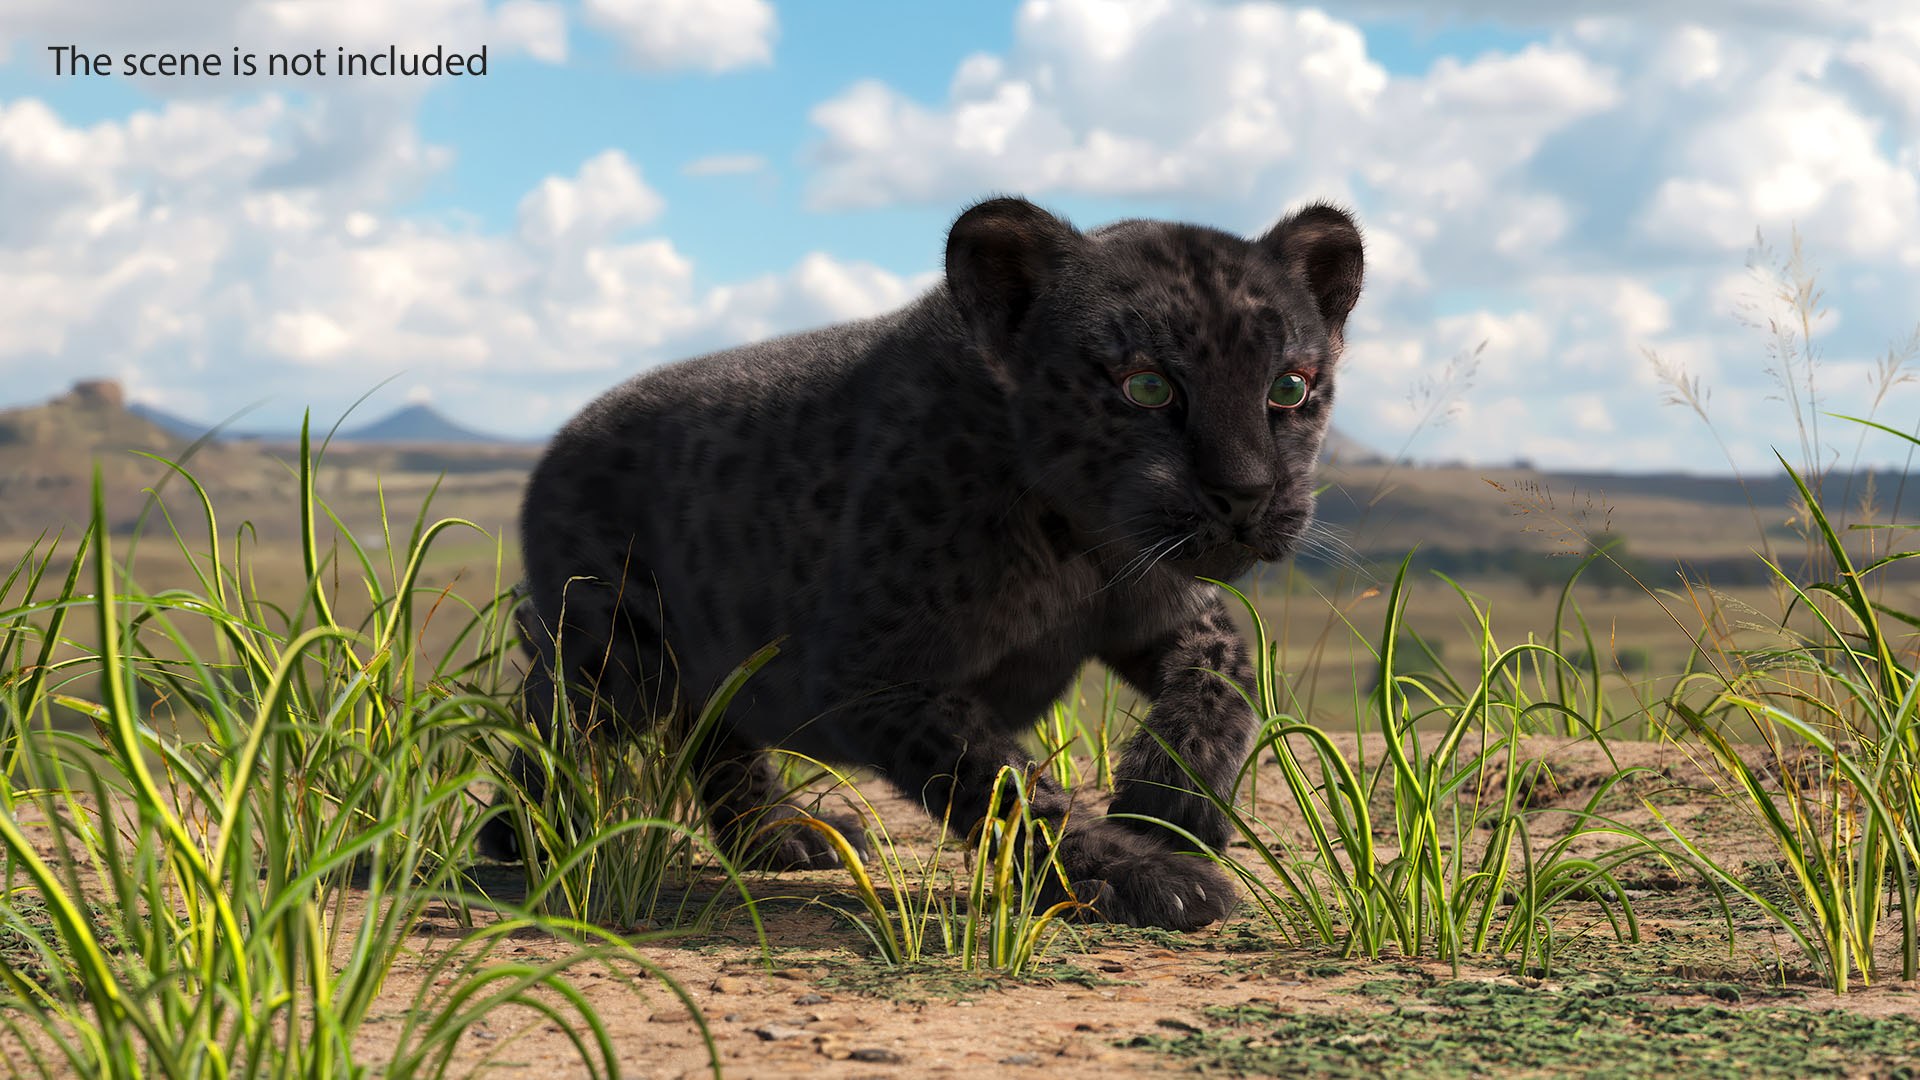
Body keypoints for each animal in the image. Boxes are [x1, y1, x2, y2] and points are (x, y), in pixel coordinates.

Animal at [491, 195, 1364, 931]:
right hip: (615, 658)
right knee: (554, 731)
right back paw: (518, 847)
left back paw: (779, 840)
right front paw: (1144, 877)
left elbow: (1224, 671)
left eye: (1290, 387)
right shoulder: (877, 678)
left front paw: (1171, 804)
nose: (1245, 495)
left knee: (715, 736)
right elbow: (1007, 786)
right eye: (1146, 386)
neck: (1084, 549)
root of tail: (554, 445)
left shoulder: (1168, 608)